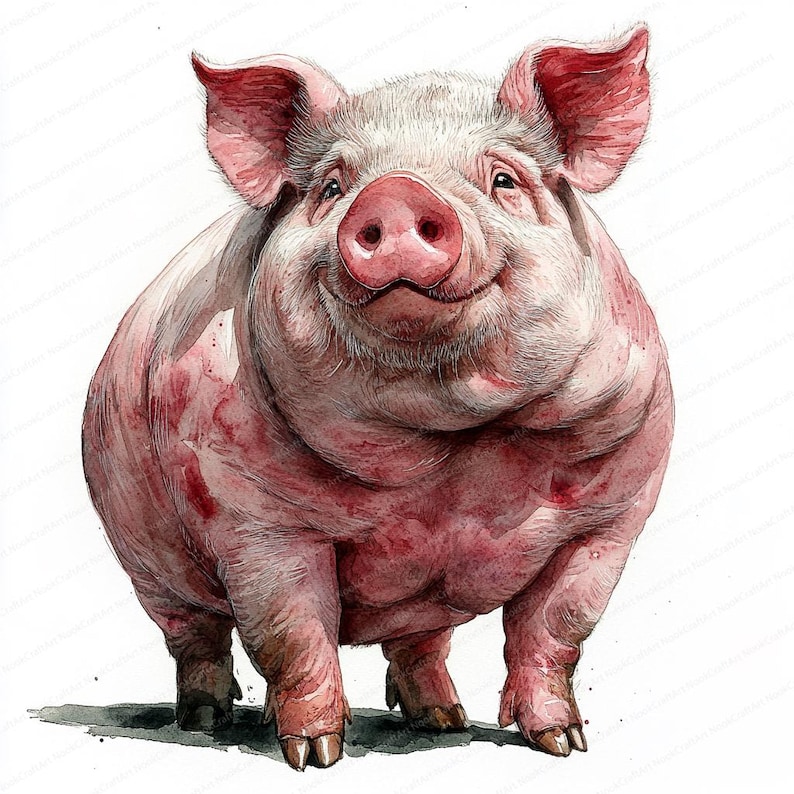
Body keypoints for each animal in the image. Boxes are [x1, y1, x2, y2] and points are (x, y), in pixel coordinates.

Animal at [82, 25, 673, 771]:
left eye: (503, 179)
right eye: (334, 187)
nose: (395, 195)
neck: (450, 446)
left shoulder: (614, 516)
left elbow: (556, 629)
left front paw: (564, 745)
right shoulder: (253, 520)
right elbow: (293, 632)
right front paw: (314, 756)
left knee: (421, 642)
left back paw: (442, 722)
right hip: (148, 559)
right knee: (197, 636)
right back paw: (207, 719)